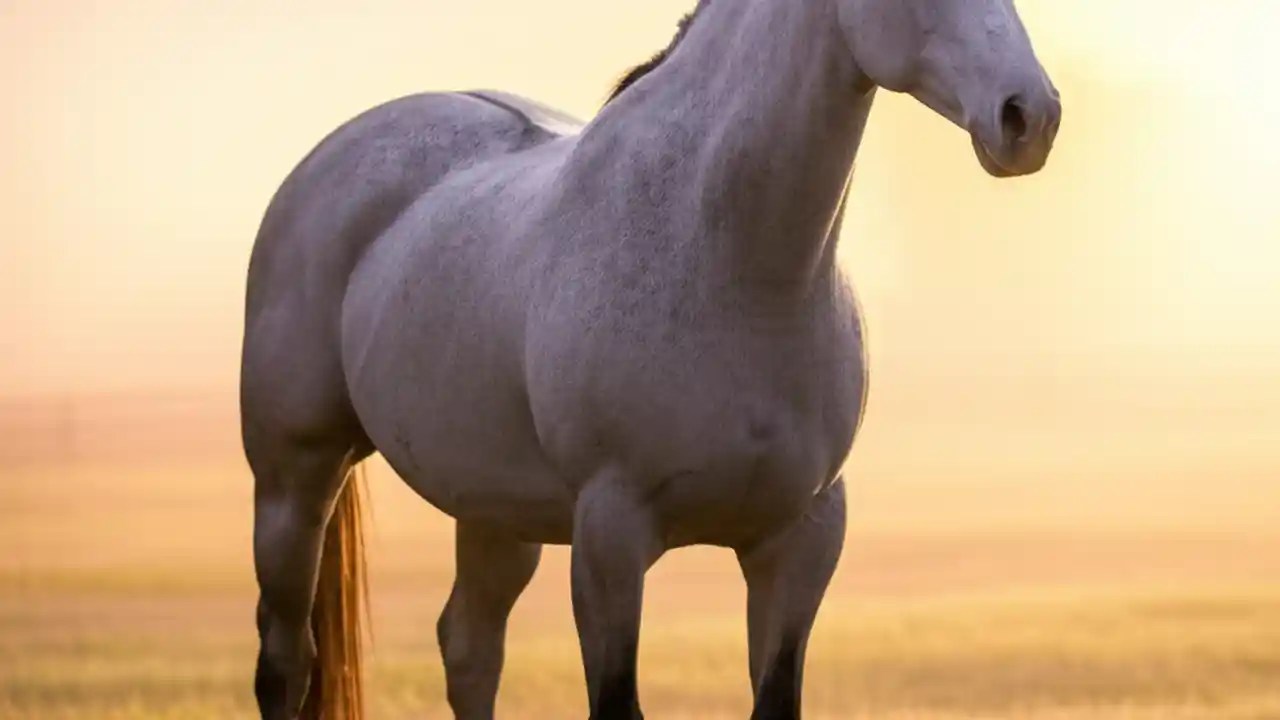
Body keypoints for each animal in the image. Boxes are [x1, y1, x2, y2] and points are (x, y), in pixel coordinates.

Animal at [240, 0, 1060, 717]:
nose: (1029, 117)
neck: (732, 262)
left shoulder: (802, 541)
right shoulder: (611, 537)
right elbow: (616, 700)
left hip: (494, 510)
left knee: (469, 648)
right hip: (293, 483)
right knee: (286, 665)